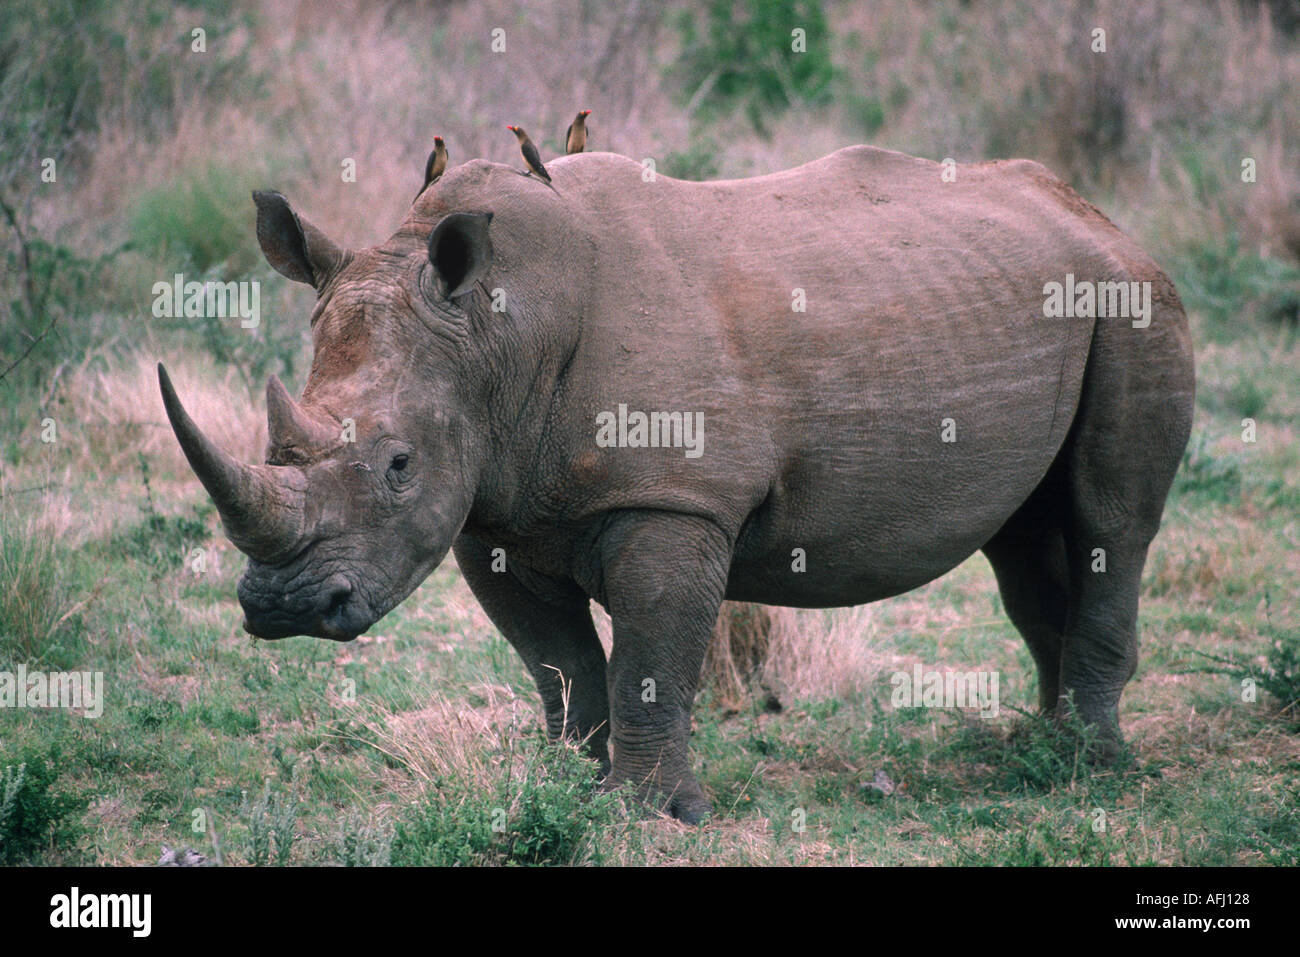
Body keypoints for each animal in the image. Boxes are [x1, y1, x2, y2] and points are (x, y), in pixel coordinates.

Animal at [158, 145, 1195, 822]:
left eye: (399, 465)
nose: (285, 606)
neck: (497, 331)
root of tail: (1098, 214)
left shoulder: (671, 496)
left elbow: (653, 655)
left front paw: (648, 812)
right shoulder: (492, 507)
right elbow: (558, 661)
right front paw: (565, 784)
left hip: (1136, 302)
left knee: (1111, 524)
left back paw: (1089, 767)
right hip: (1047, 301)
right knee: (1024, 543)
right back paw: (1034, 746)